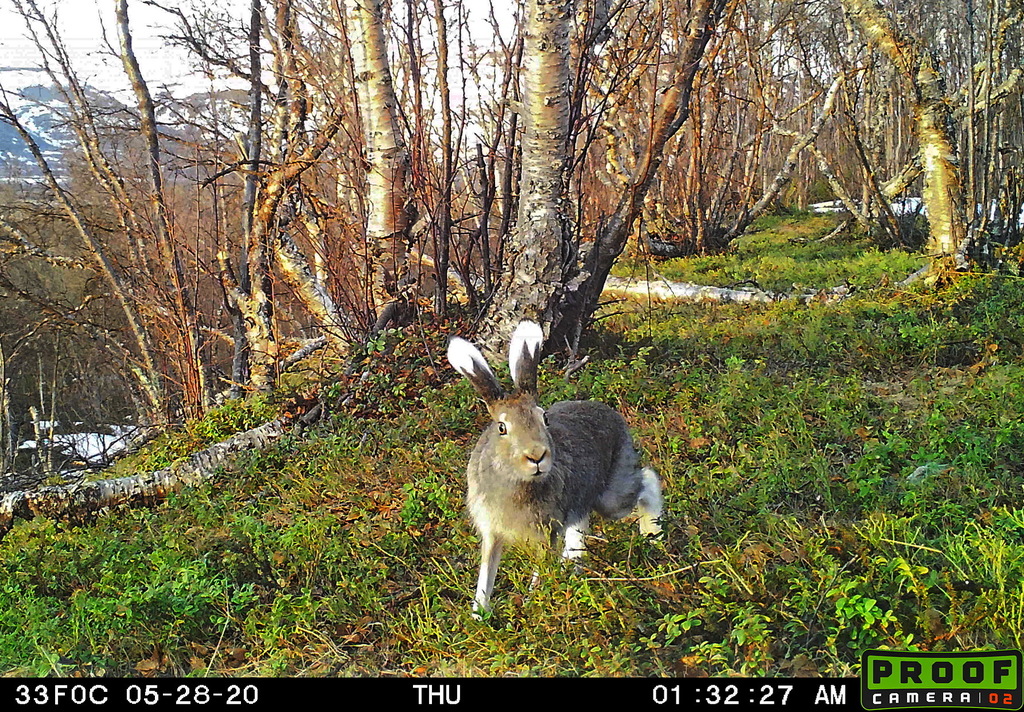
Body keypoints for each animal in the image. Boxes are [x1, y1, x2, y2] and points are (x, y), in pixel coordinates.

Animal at [447, 320, 662, 615]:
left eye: (544, 418)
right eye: (502, 427)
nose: (536, 456)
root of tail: (612, 415)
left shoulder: (546, 532)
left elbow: (540, 568)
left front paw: (532, 601)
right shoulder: (492, 530)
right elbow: (486, 573)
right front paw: (479, 614)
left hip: (611, 497)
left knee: (647, 479)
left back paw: (652, 535)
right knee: (579, 530)